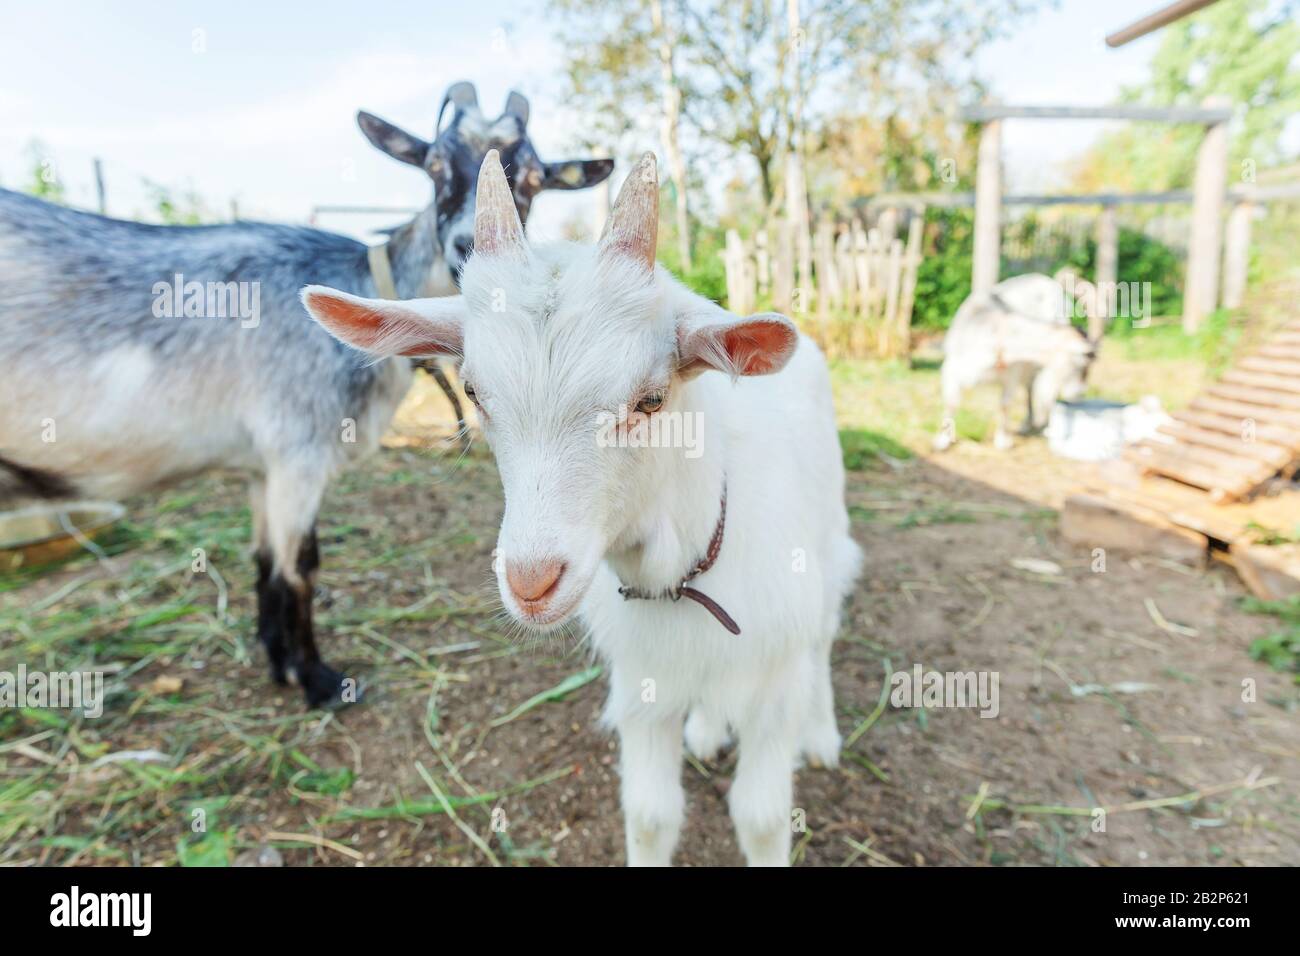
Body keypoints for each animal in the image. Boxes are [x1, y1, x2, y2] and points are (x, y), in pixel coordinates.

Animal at [0, 83, 612, 708]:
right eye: (434, 163)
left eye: (535, 177)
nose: (468, 246)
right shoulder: (298, 452)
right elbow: (301, 566)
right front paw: (319, 679)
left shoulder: (262, 467)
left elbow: (266, 562)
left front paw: (278, 661)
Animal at [302, 150, 864, 865]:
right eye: (473, 390)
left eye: (651, 399)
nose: (531, 581)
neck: (686, 572)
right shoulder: (644, 684)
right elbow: (651, 814)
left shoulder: (771, 679)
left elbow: (761, 818)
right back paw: (708, 729)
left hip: (829, 552)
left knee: (825, 633)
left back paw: (821, 735)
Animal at [934, 274, 1098, 451]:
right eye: (1083, 361)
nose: (1080, 394)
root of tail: (1048, 281)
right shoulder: (950, 369)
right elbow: (951, 403)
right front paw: (941, 441)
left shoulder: (1013, 372)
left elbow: (1005, 404)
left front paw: (1002, 440)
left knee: (1032, 388)